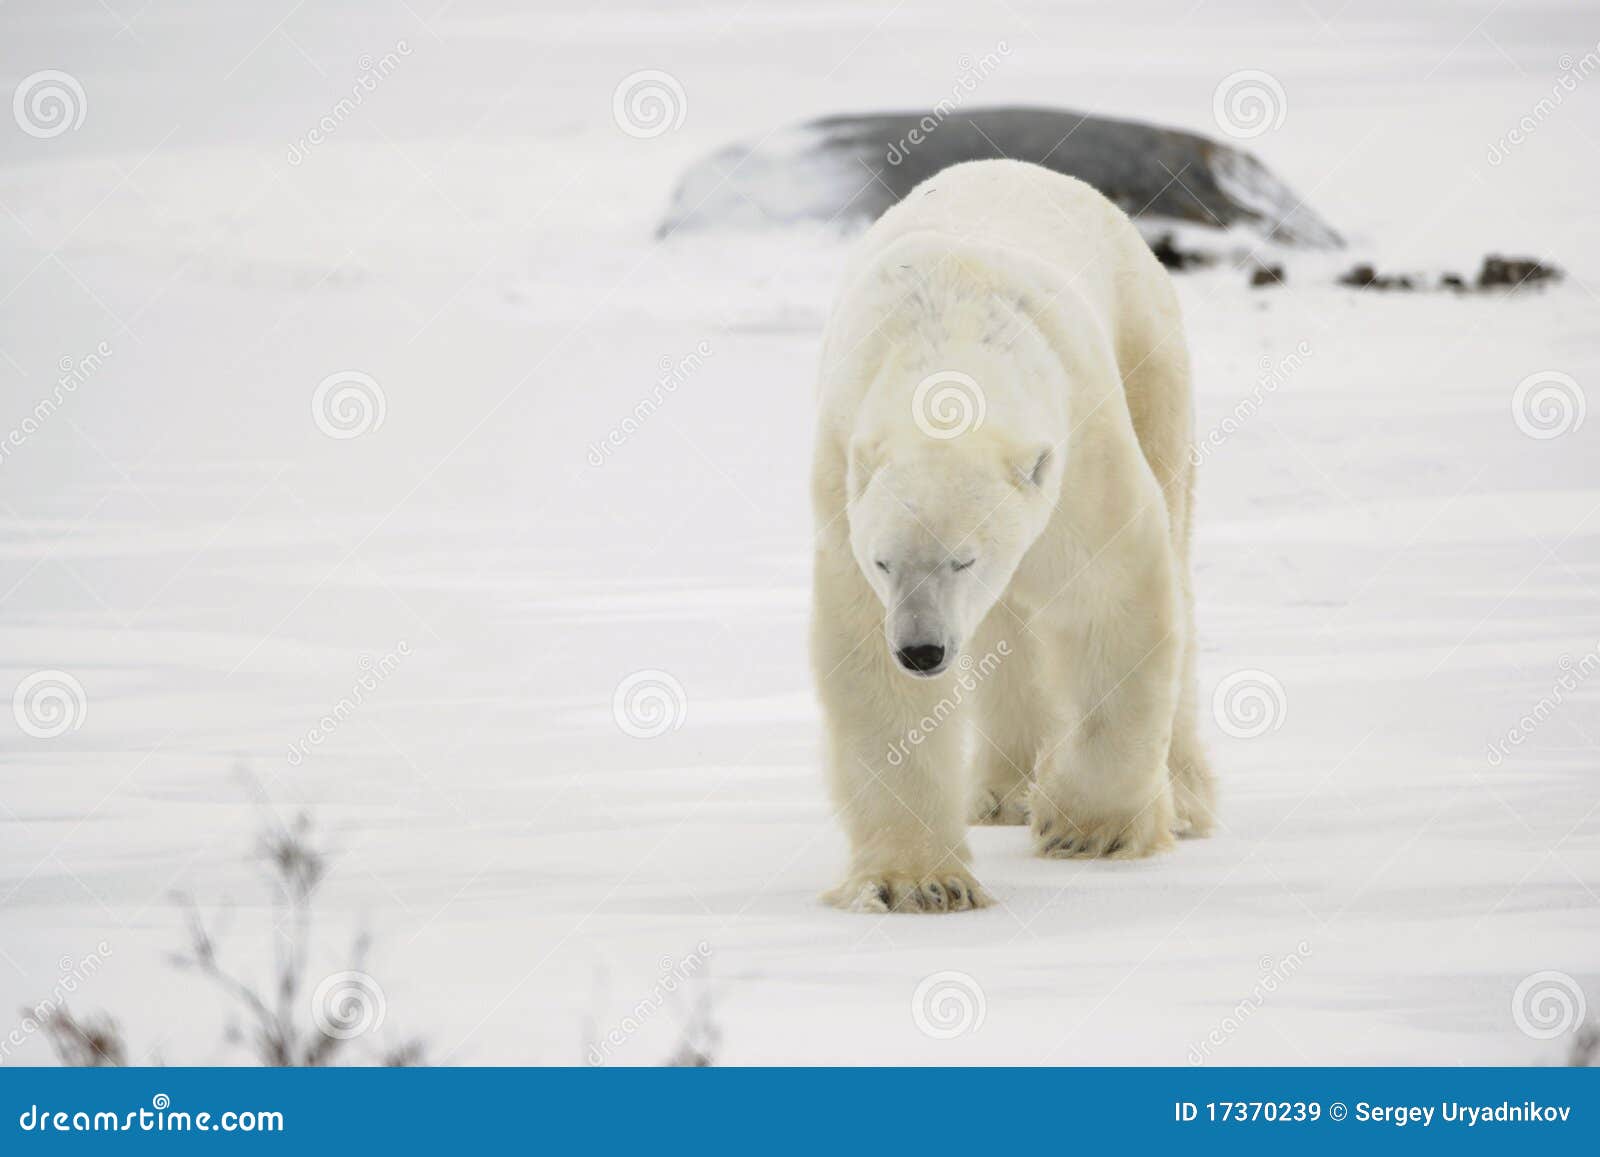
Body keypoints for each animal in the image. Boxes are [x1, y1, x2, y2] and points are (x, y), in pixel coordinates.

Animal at [810, 159, 1215, 913]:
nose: (922, 650)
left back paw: (1183, 797)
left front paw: (1089, 829)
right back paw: (1004, 791)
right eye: (884, 563)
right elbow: (865, 658)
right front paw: (919, 881)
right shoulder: (842, 481)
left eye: (964, 559)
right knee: (1009, 632)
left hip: (1151, 358)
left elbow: (1112, 597)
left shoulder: (1081, 449)